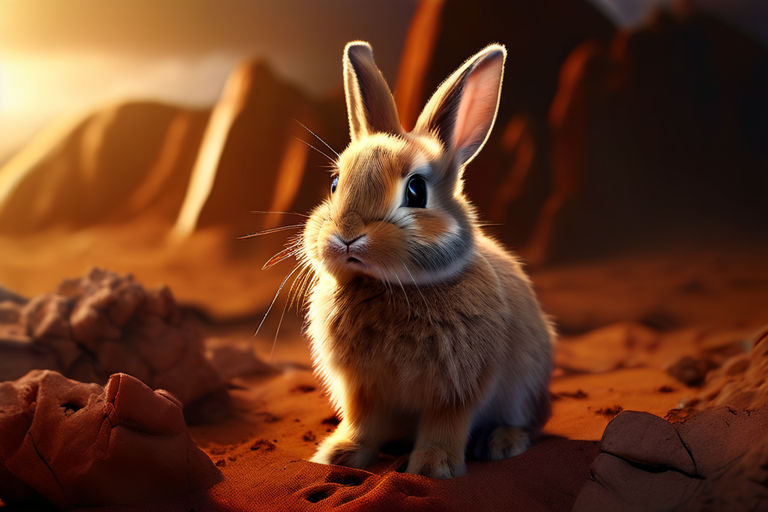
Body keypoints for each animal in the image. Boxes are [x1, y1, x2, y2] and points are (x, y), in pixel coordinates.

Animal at [300, 41, 555, 479]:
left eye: (416, 191)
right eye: (335, 185)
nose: (347, 235)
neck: (388, 286)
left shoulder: (457, 387)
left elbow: (444, 424)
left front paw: (433, 467)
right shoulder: (362, 389)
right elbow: (362, 423)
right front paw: (339, 455)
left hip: (524, 389)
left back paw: (502, 442)